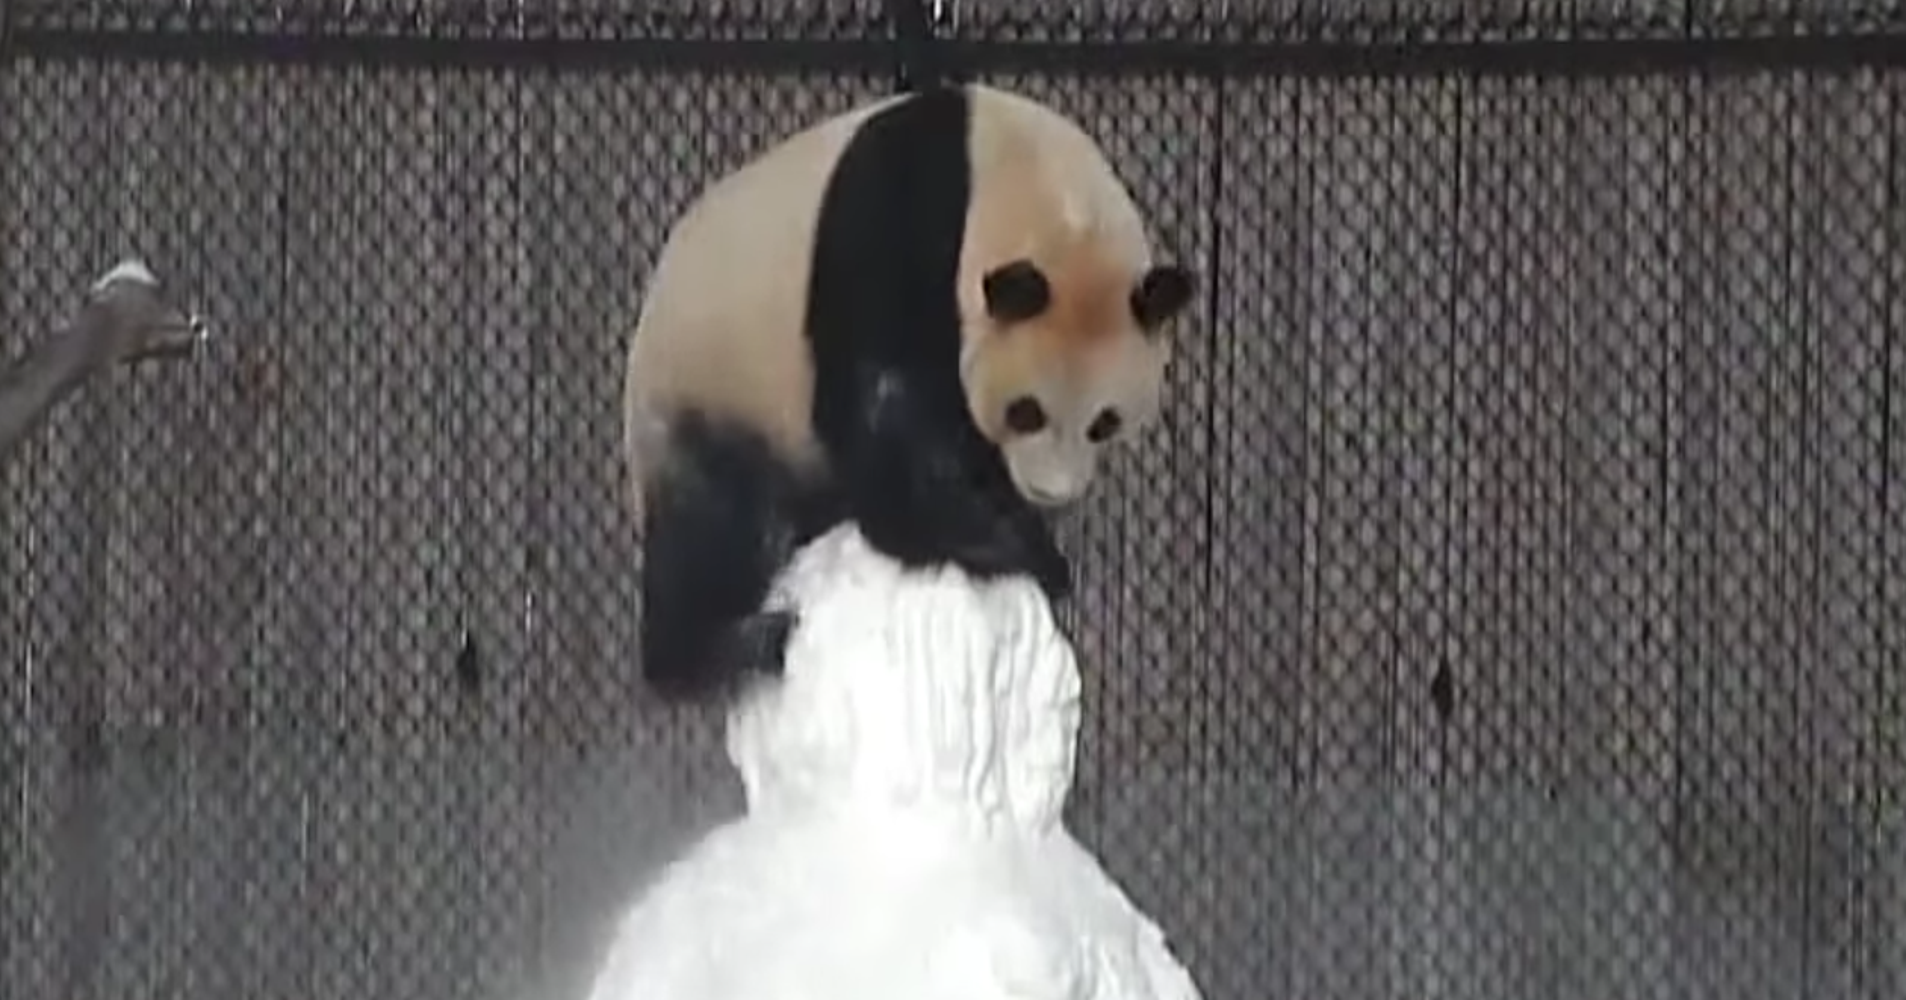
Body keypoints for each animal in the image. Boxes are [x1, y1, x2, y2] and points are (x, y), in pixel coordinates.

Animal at [623, 81, 1196, 703]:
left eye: (1105, 421)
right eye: (1027, 412)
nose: (1051, 492)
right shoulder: (897, 214)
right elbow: (881, 399)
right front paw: (1001, 546)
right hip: (709, 394)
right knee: (715, 527)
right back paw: (711, 649)